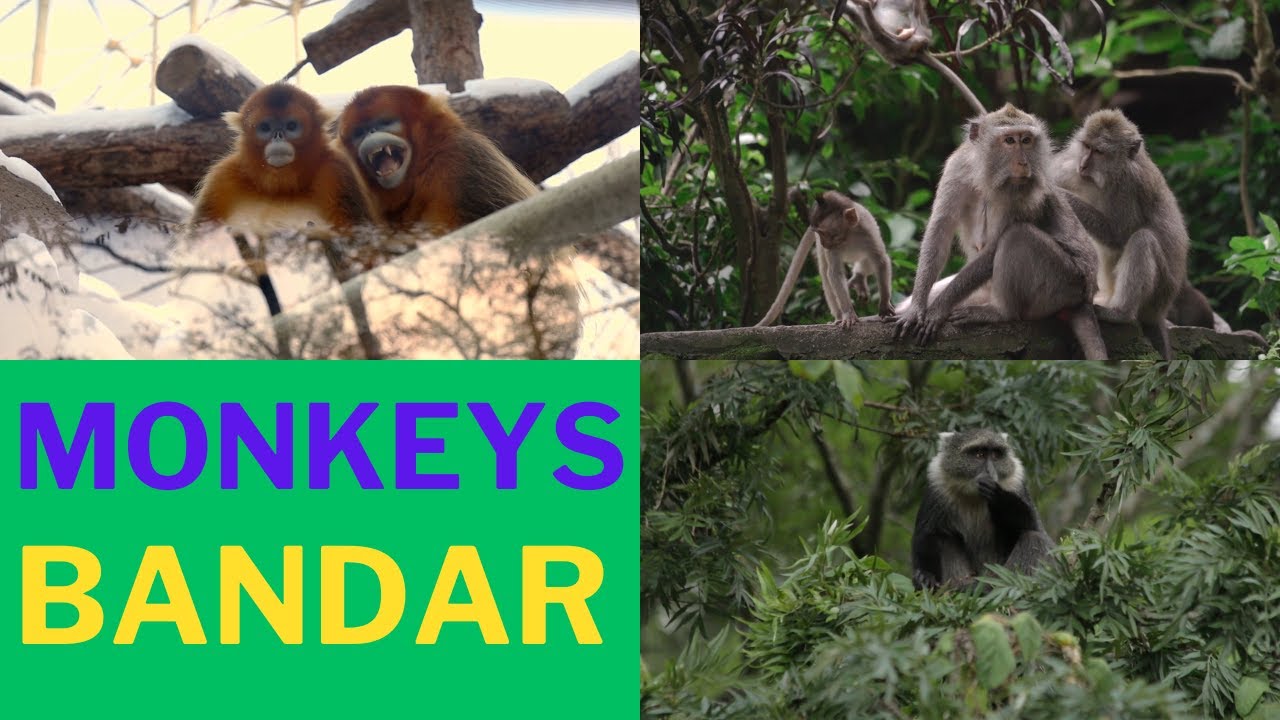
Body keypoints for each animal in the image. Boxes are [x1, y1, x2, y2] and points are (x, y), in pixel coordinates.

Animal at [756, 189, 893, 328]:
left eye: (825, 233)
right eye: (818, 233)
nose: (823, 243)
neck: (848, 236)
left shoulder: (868, 233)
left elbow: (881, 262)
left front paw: (884, 305)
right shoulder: (832, 249)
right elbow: (834, 273)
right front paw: (848, 314)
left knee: (869, 260)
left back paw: (859, 277)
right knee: (825, 273)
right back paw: (839, 316)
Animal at [894, 104, 1108, 359]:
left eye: (1026, 140)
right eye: (1009, 140)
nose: (1024, 163)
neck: (987, 175)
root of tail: (1085, 298)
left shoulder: (1024, 194)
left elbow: (994, 249)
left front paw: (938, 309)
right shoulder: (957, 167)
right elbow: (939, 231)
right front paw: (916, 308)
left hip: (1065, 284)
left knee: (1018, 236)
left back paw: (1001, 313)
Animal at [911, 429, 1055, 591]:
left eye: (996, 455)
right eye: (979, 454)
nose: (989, 471)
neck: (975, 497)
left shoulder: (1016, 486)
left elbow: (1033, 526)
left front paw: (997, 496)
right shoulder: (938, 488)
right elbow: (927, 535)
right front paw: (924, 577)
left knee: (1034, 538)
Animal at [1051, 109, 1189, 361]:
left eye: (1099, 152)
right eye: (1086, 146)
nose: (1083, 165)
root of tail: (1160, 312)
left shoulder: (1128, 185)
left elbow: (1119, 236)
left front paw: (1059, 194)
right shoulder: (1068, 167)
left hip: (1158, 296)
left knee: (1142, 240)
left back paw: (1120, 313)